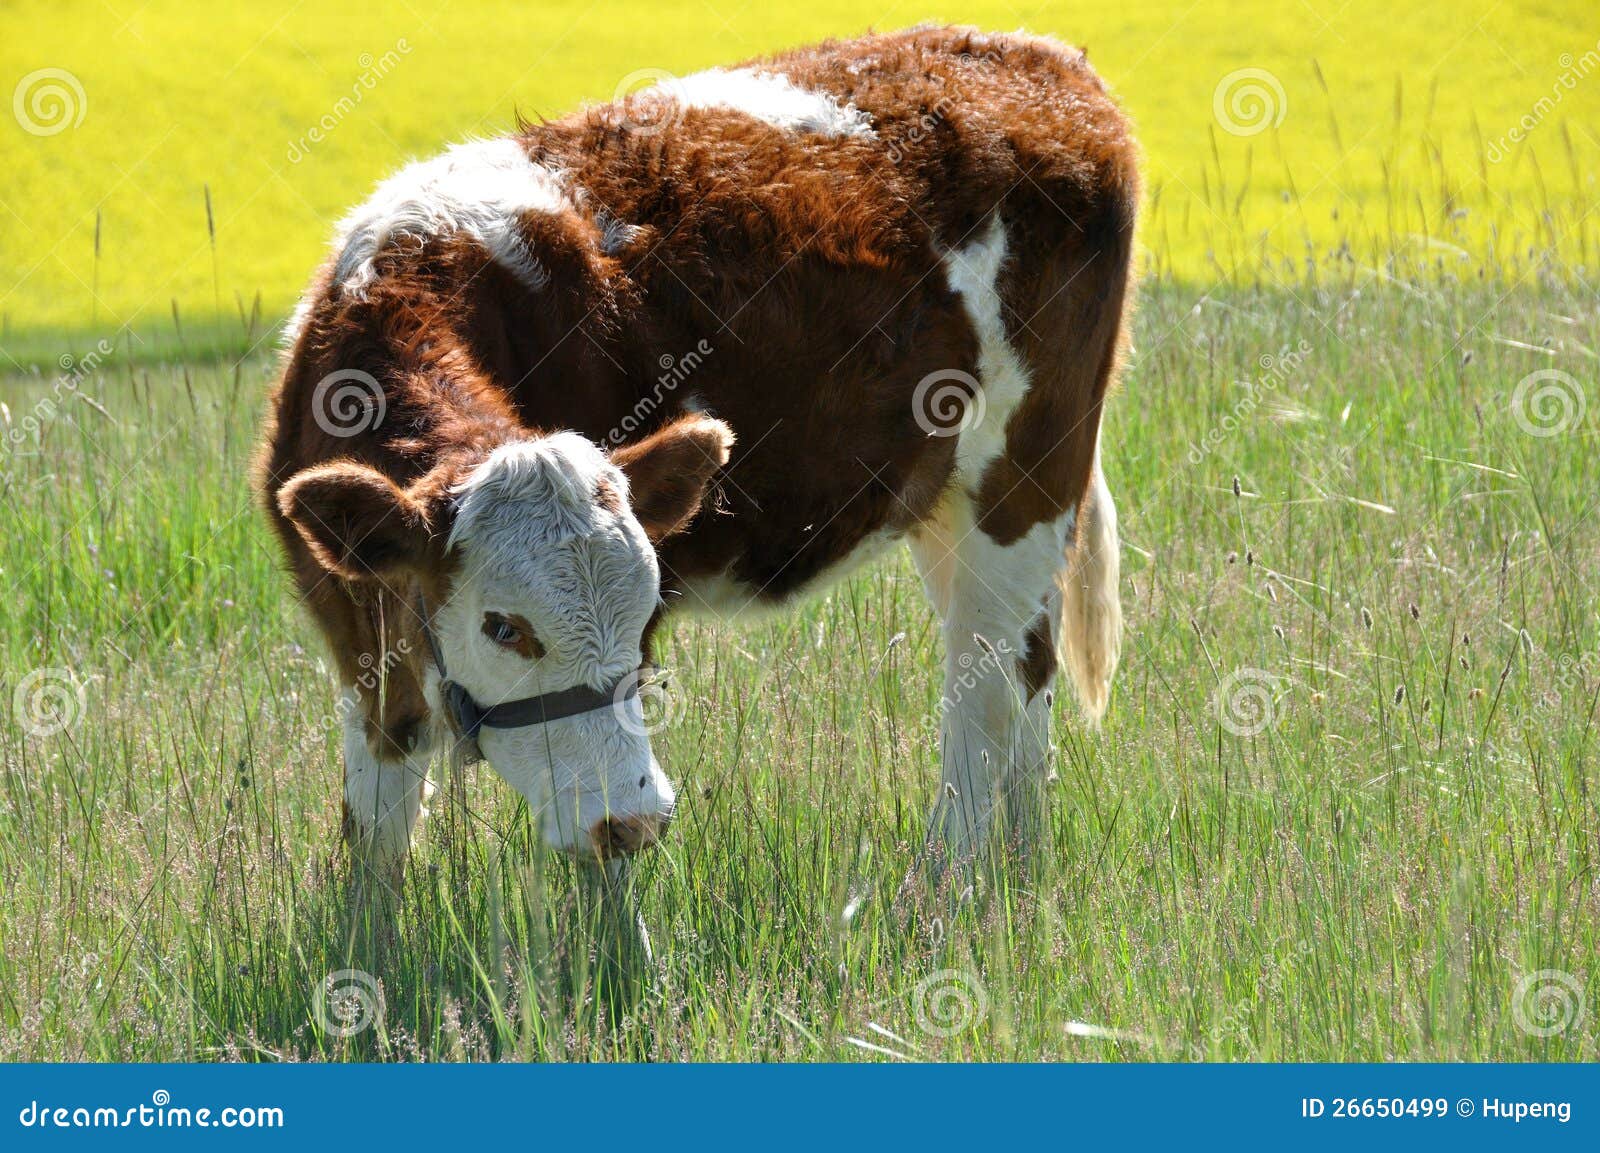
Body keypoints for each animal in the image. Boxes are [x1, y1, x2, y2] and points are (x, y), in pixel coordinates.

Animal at [259, 25, 1136, 916]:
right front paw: (368, 940)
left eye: (646, 608)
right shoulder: (361, 640)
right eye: (502, 626)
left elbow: (600, 878)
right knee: (1025, 669)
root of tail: (1036, 55)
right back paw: (1018, 870)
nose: (637, 815)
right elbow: (376, 826)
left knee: (985, 683)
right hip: (953, 502)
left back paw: (943, 891)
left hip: (1026, 476)